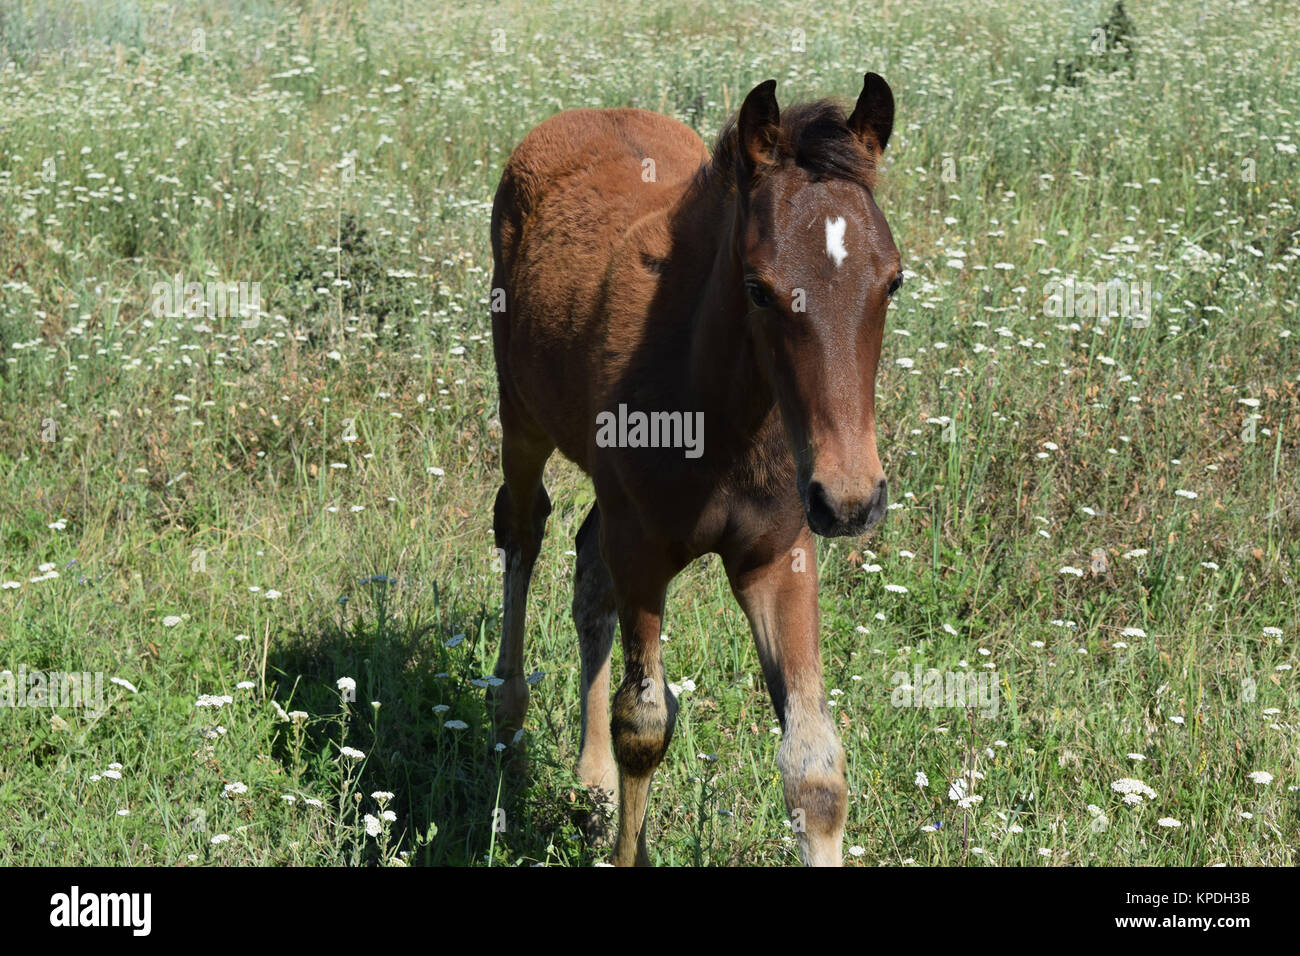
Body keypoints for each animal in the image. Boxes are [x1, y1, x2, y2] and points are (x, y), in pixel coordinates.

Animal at [486, 73, 900, 866]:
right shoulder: (643, 552)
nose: (851, 500)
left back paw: (591, 790)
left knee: (587, 566)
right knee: (524, 530)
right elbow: (644, 727)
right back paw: (506, 717)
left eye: (893, 282)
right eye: (759, 287)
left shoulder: (779, 554)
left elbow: (814, 768)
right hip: (521, 418)